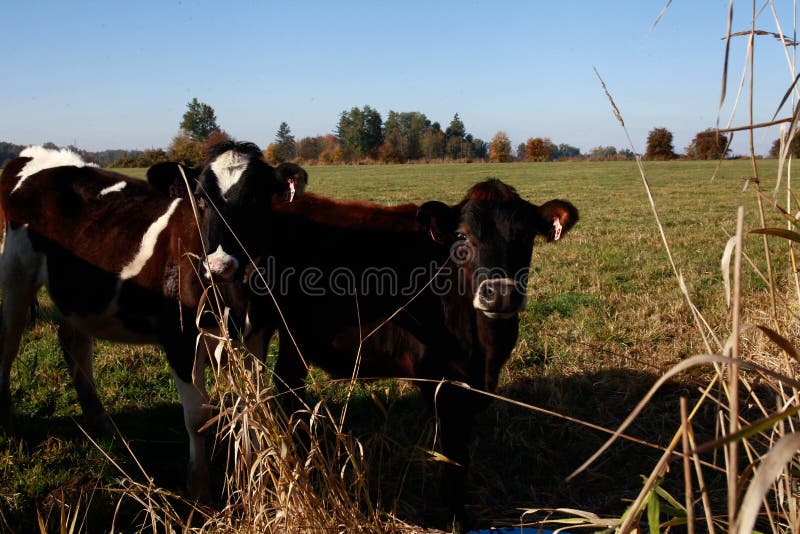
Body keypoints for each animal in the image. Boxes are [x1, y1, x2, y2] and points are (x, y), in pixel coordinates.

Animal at [0, 141, 298, 502]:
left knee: (73, 340)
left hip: (81, 297)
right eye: (199, 198)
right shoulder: (180, 337)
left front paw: (258, 479)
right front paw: (200, 490)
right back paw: (9, 426)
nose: (218, 265)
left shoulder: (257, 335)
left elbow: (252, 405)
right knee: (8, 345)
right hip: (15, 278)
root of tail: (33, 154)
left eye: (255, 199)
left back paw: (100, 421)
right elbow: (198, 416)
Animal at [250, 180, 578, 530]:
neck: (486, 354)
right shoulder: (441, 382)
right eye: (462, 236)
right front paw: (456, 519)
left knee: (287, 387)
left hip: (293, 335)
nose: (500, 294)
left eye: (526, 236)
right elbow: (454, 456)